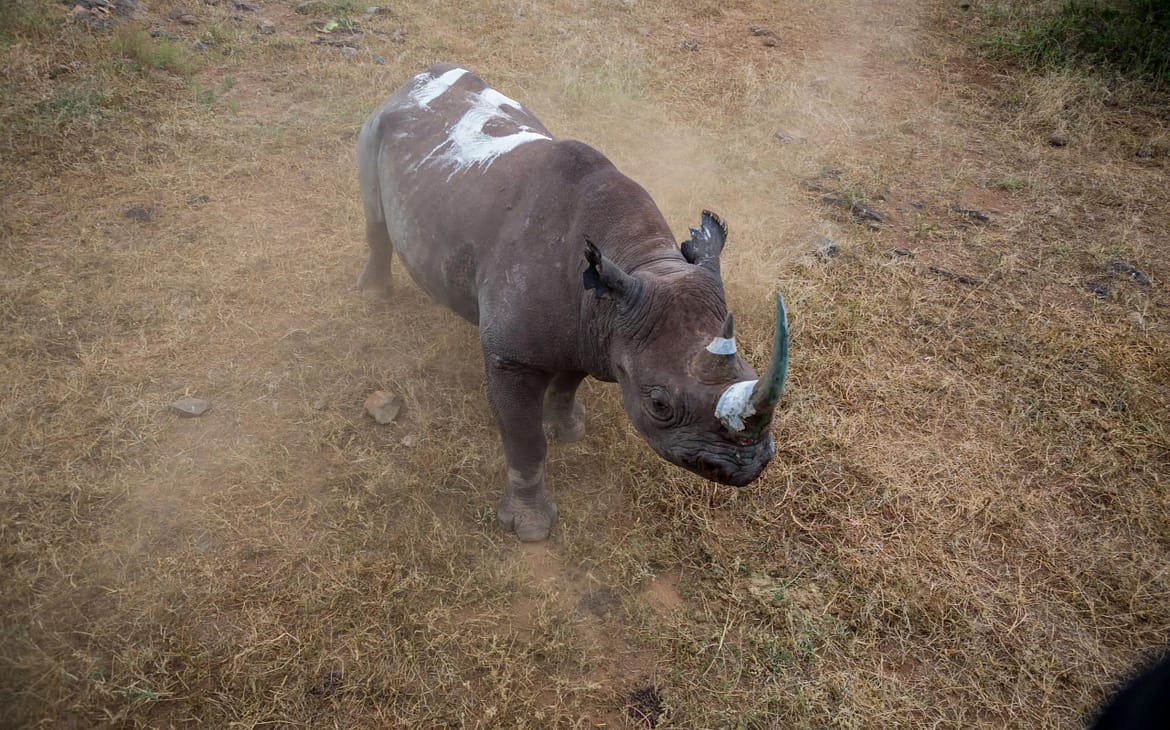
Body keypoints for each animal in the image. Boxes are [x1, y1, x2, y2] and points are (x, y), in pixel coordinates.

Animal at [356, 64, 789, 541]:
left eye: (749, 371)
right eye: (659, 404)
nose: (745, 469)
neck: (642, 259)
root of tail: (416, 79)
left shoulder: (595, 324)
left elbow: (568, 382)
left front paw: (569, 428)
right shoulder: (512, 357)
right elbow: (525, 441)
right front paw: (530, 527)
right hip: (376, 128)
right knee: (375, 218)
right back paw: (374, 296)